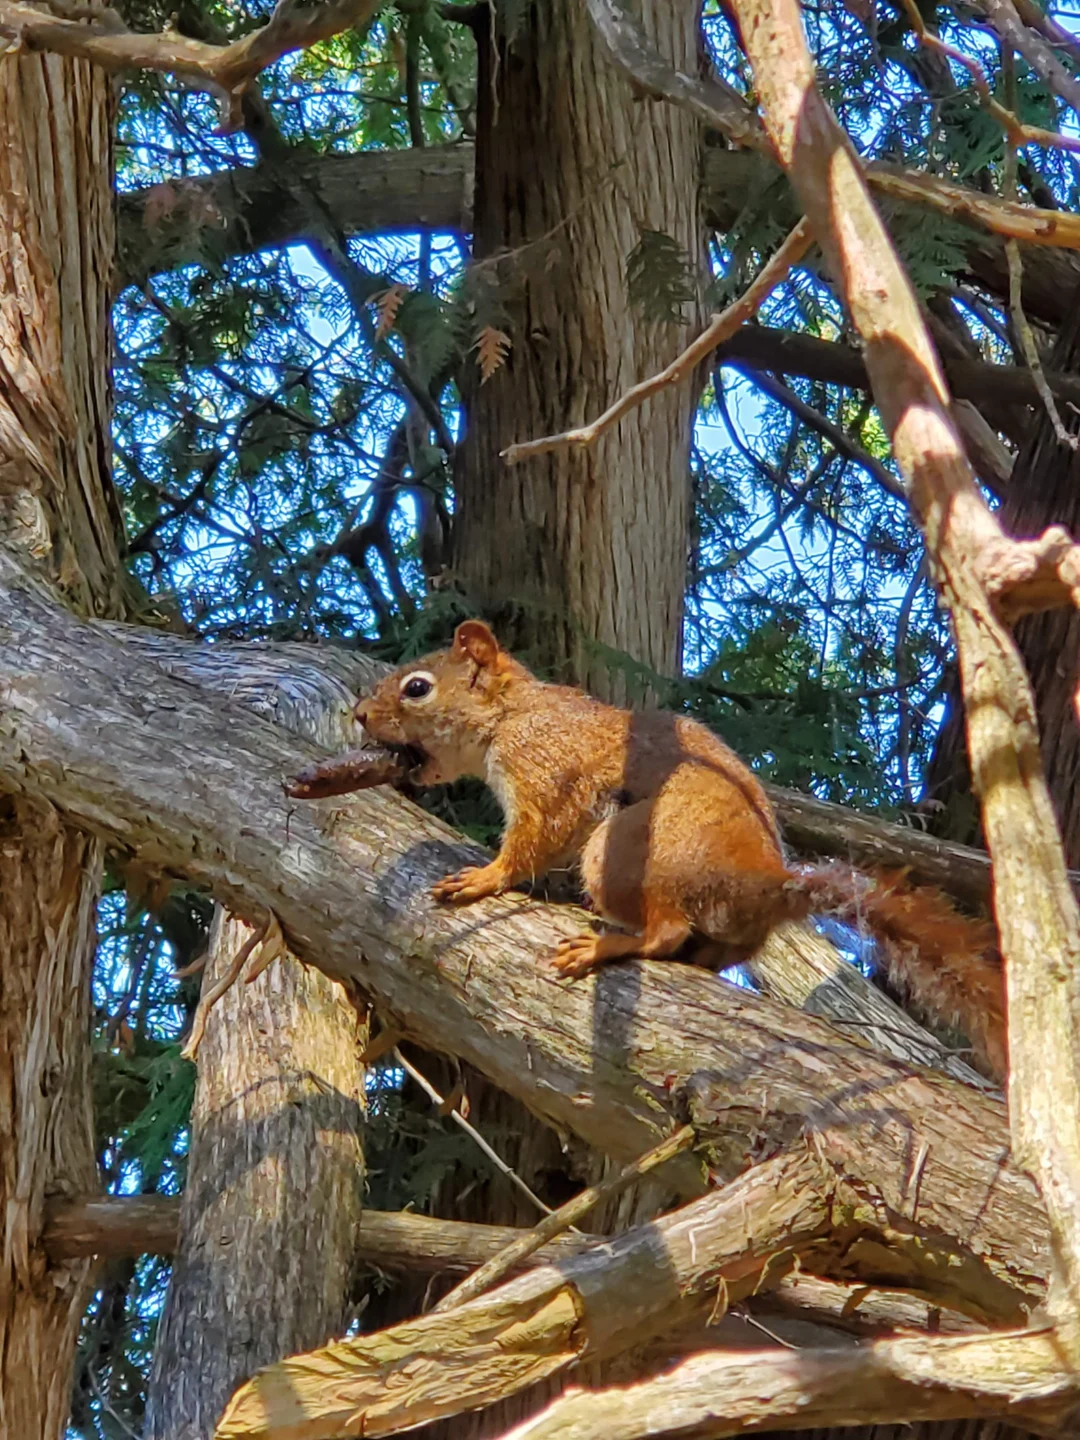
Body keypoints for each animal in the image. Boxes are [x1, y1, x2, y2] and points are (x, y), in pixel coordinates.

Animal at [353, 619, 1006, 1081]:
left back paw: (606, 945)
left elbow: (532, 841)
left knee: (664, 930)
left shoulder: (545, 771)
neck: (513, 713)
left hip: (621, 850)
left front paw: (485, 876)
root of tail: (761, 882)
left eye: (417, 688)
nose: (359, 714)